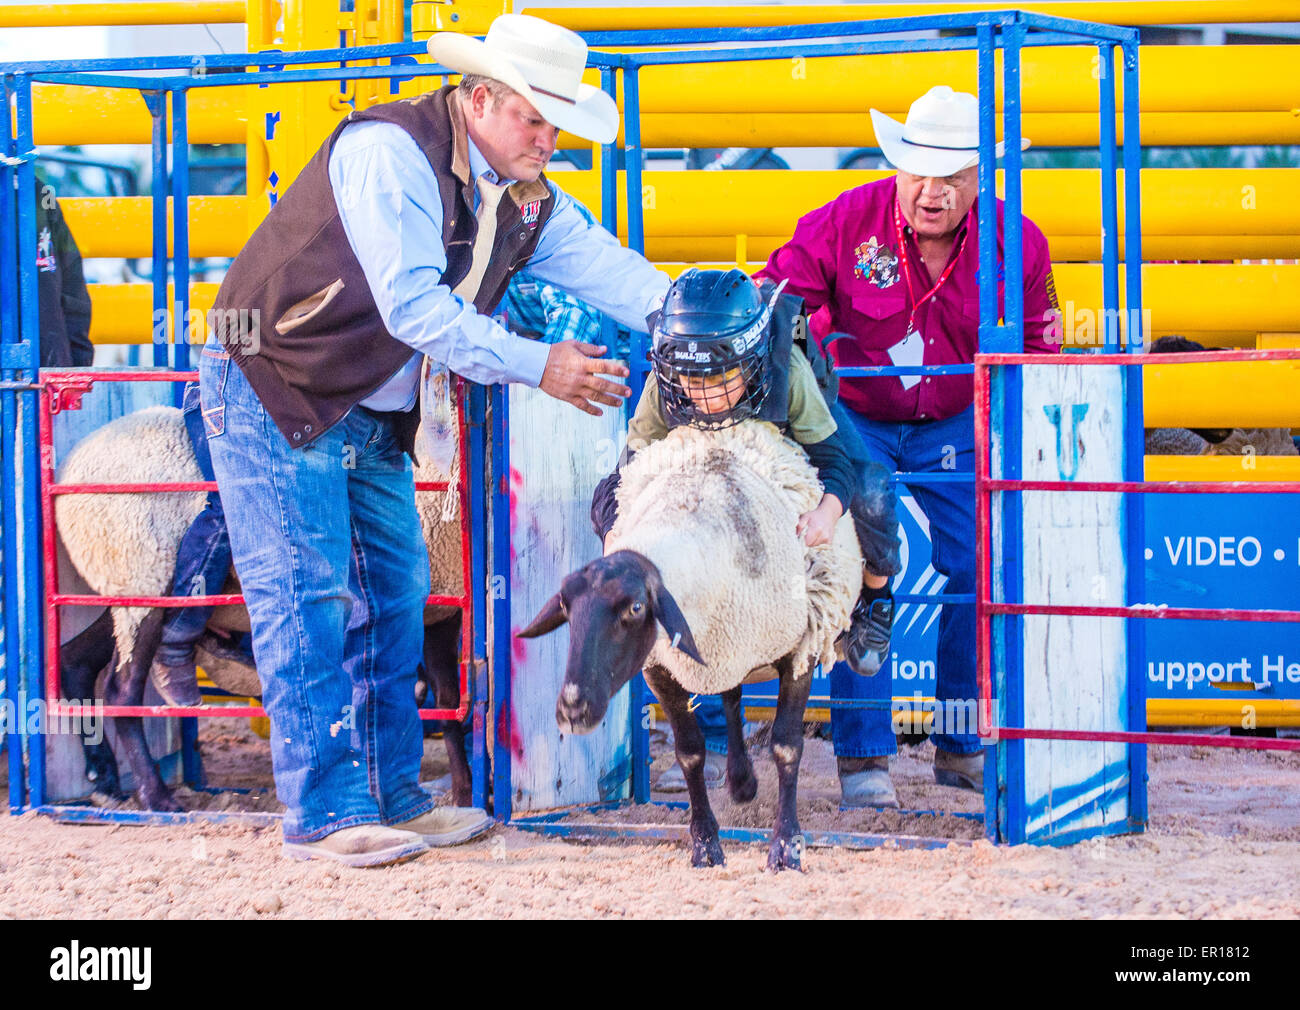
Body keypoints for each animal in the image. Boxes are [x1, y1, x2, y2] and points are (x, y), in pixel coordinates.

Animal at [53, 402, 470, 810]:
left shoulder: (442, 611)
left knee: (76, 661)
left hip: (128, 590)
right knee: (121, 689)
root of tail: (71, 468)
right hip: (142, 578)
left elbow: (448, 702)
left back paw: (105, 780)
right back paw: (156, 797)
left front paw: (464, 793)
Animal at [519, 420, 863, 871]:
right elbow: (689, 752)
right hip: (727, 653)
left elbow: (787, 747)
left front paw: (787, 847)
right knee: (732, 698)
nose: (573, 709)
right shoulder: (660, 668)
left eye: (635, 608)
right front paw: (705, 844)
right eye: (565, 605)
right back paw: (741, 781)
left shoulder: (800, 648)